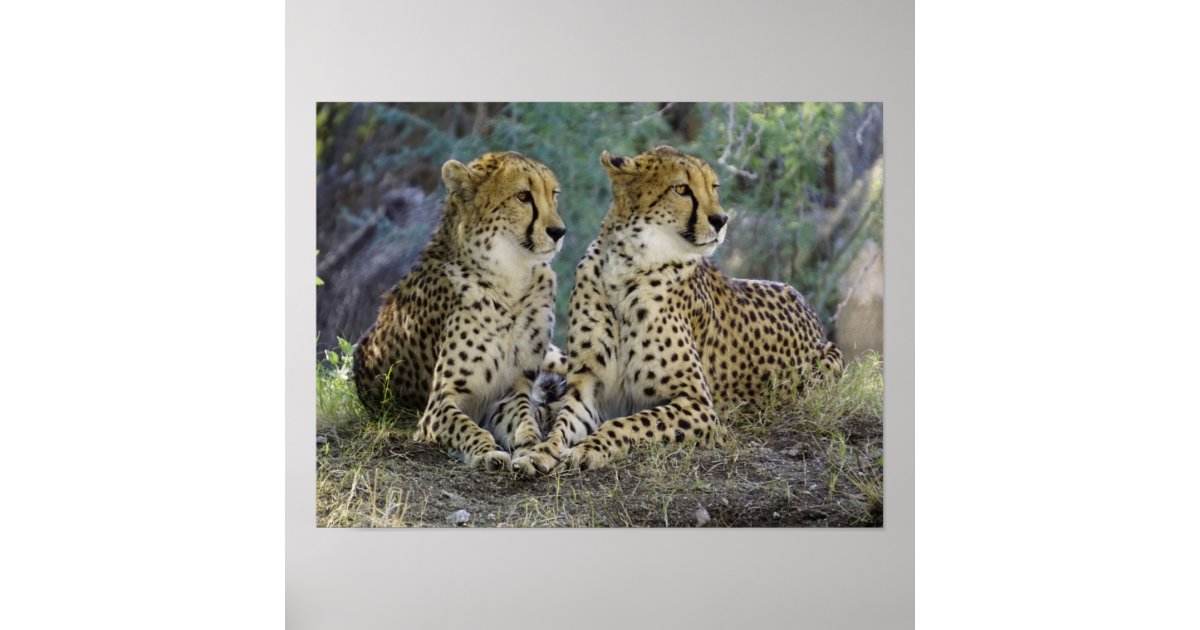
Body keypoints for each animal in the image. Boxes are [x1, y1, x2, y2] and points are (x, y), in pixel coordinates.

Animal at [352, 151, 570, 471]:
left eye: (553, 195)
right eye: (523, 196)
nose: (558, 231)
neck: (511, 280)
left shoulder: (510, 393)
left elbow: (525, 421)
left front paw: (531, 448)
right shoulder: (439, 404)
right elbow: (466, 427)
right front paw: (487, 452)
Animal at [511, 146, 843, 475]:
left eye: (713, 187)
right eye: (682, 189)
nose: (721, 219)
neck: (626, 266)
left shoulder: (698, 404)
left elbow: (627, 423)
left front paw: (589, 449)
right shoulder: (588, 386)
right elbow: (563, 424)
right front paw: (539, 452)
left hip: (826, 363)